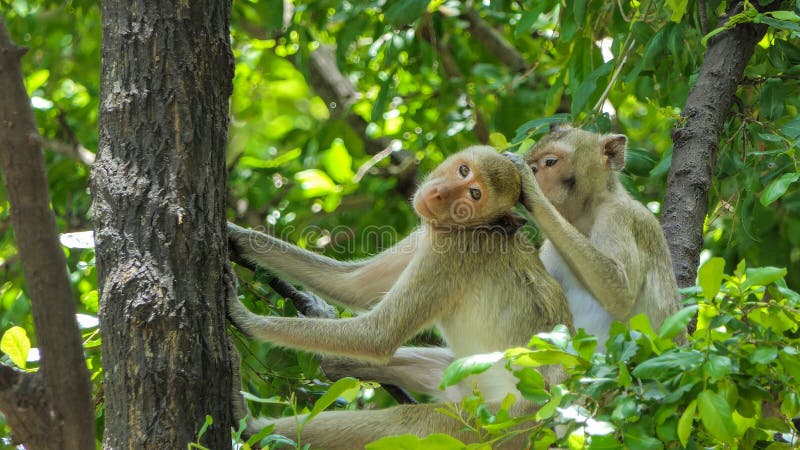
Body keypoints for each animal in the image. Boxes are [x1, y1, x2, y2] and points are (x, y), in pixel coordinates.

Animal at [227, 146, 573, 448]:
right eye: (463, 170)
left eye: (474, 194)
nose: (440, 193)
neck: (477, 227)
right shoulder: (428, 235)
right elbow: (352, 286)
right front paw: (238, 236)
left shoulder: (452, 252)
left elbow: (380, 335)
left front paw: (244, 318)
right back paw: (333, 364)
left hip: (495, 425)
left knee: (408, 423)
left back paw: (251, 428)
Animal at [507, 124, 679, 349]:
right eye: (533, 164)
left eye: (550, 162)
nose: (534, 171)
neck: (587, 212)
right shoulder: (552, 246)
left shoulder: (617, 214)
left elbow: (621, 292)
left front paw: (531, 190)